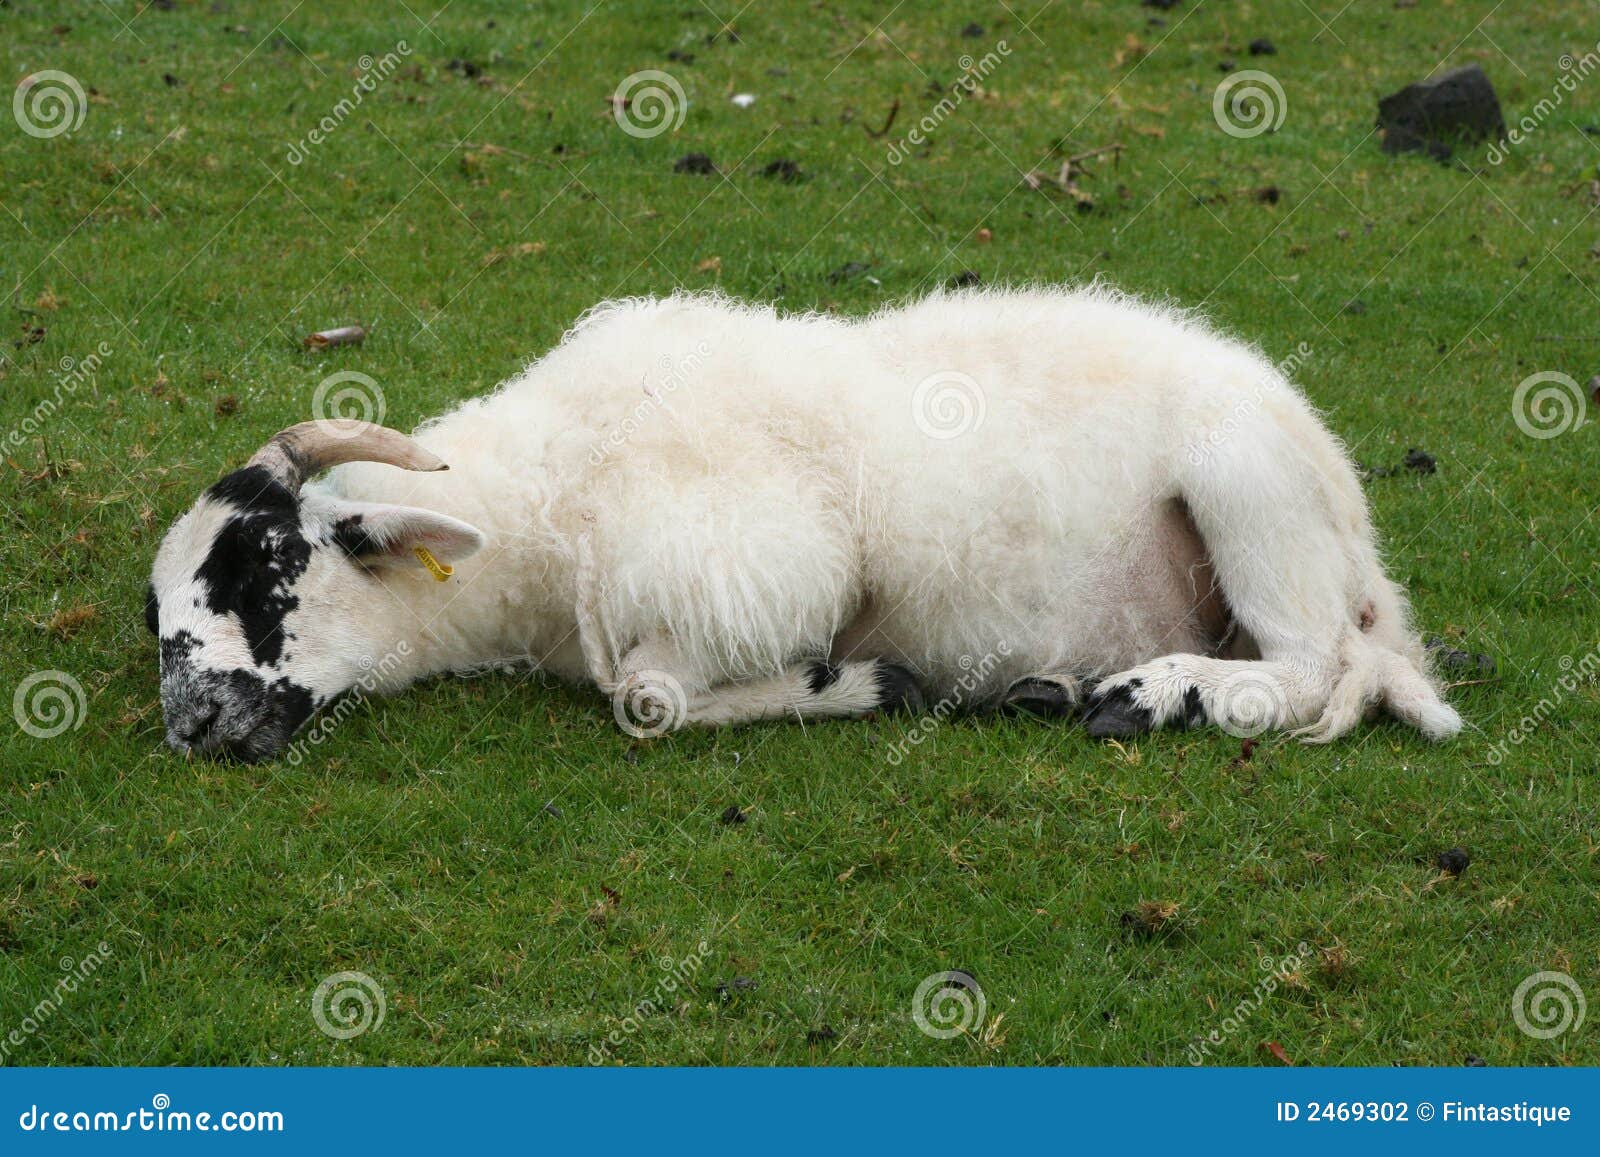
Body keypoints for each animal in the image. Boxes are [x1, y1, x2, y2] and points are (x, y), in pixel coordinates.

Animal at [145, 284, 1462, 761]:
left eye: (269, 561)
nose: (190, 723)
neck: (546, 506)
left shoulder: (761, 571)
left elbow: (648, 700)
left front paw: (861, 682)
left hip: (1249, 497)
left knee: (1310, 668)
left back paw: (1156, 694)